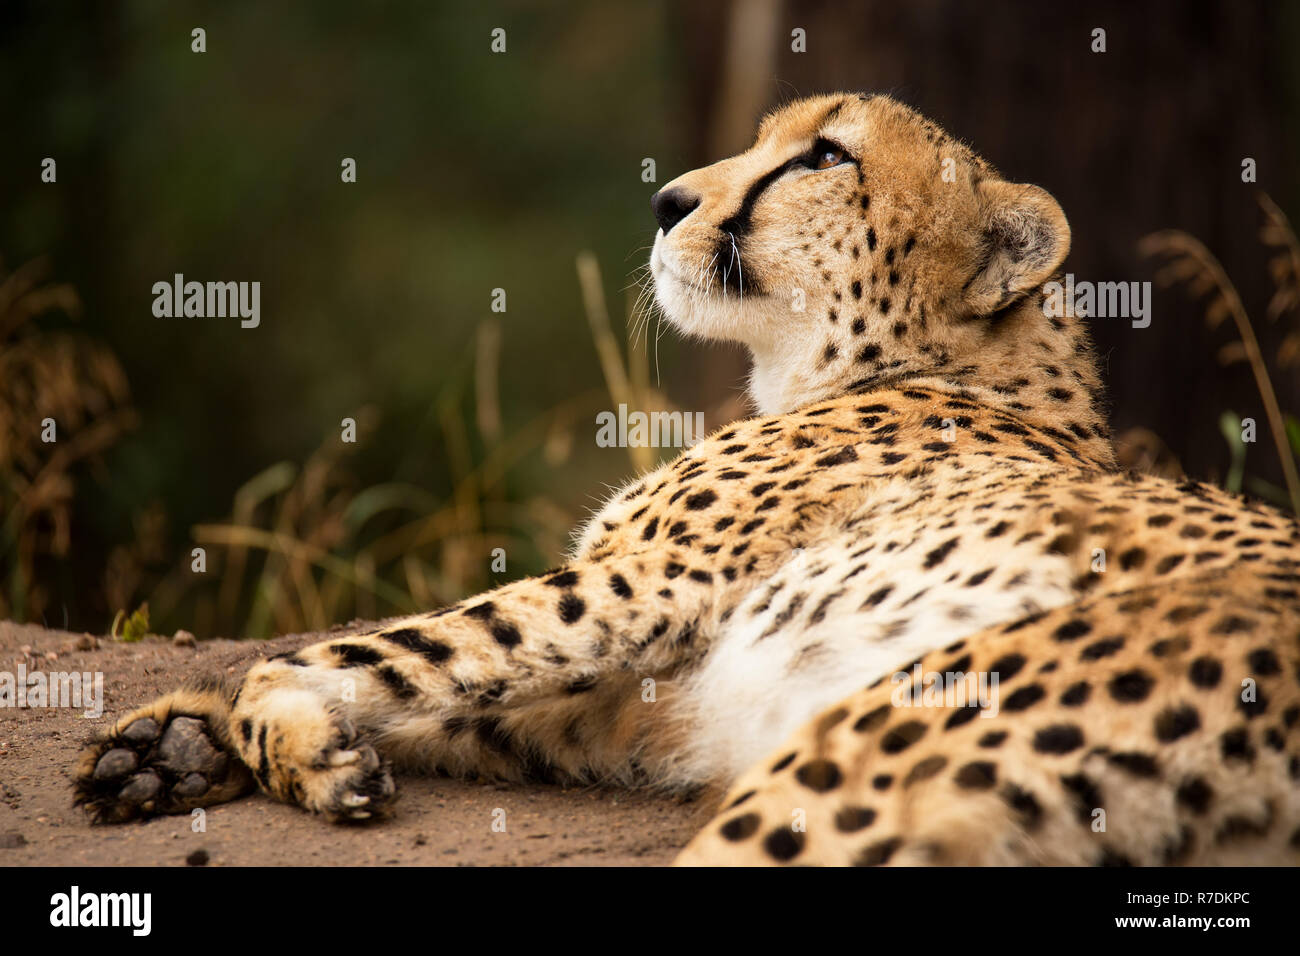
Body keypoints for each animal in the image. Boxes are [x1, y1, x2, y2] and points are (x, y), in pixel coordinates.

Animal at [74, 92, 1300, 866]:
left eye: (824, 157)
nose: (666, 202)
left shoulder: (647, 583)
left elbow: (388, 647)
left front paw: (273, 726)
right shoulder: (652, 704)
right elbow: (444, 684)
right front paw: (174, 744)